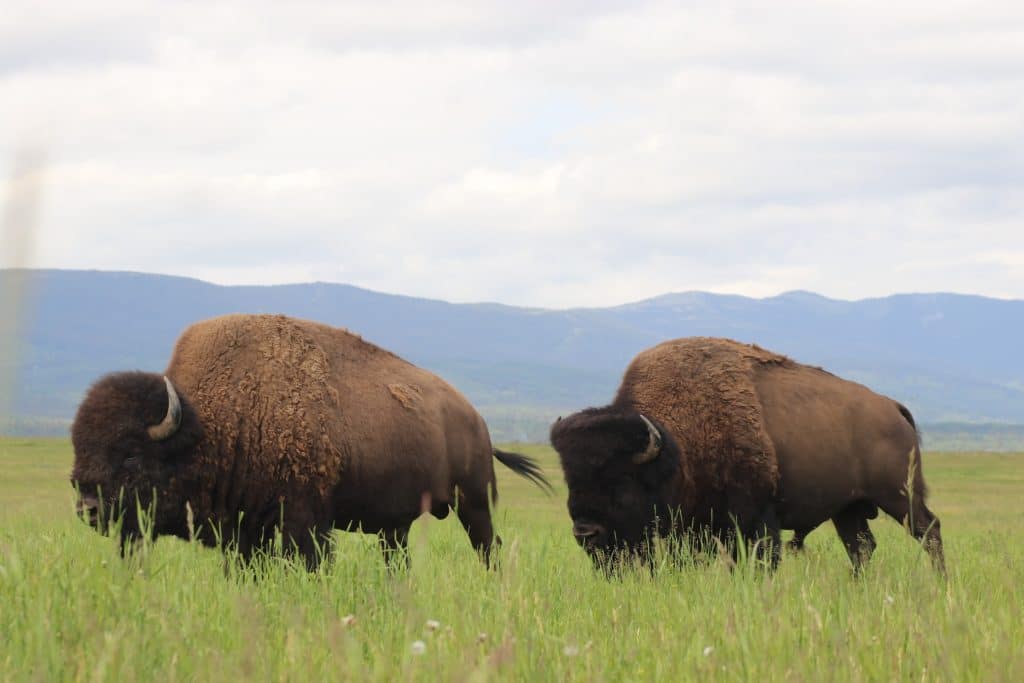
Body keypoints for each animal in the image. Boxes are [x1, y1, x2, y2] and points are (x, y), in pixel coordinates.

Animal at [71, 314, 550, 568]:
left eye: (131, 456)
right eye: (80, 448)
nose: (88, 508)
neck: (209, 424)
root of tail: (477, 420)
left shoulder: (305, 522)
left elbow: (311, 563)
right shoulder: (246, 530)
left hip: (475, 503)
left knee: (488, 548)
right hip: (396, 526)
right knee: (397, 558)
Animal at [550, 337, 945, 573]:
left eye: (622, 482)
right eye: (570, 481)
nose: (585, 532)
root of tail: (892, 407)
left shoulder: (757, 518)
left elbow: (762, 561)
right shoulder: (694, 527)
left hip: (898, 496)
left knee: (929, 530)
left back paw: (940, 584)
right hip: (848, 508)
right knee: (862, 546)